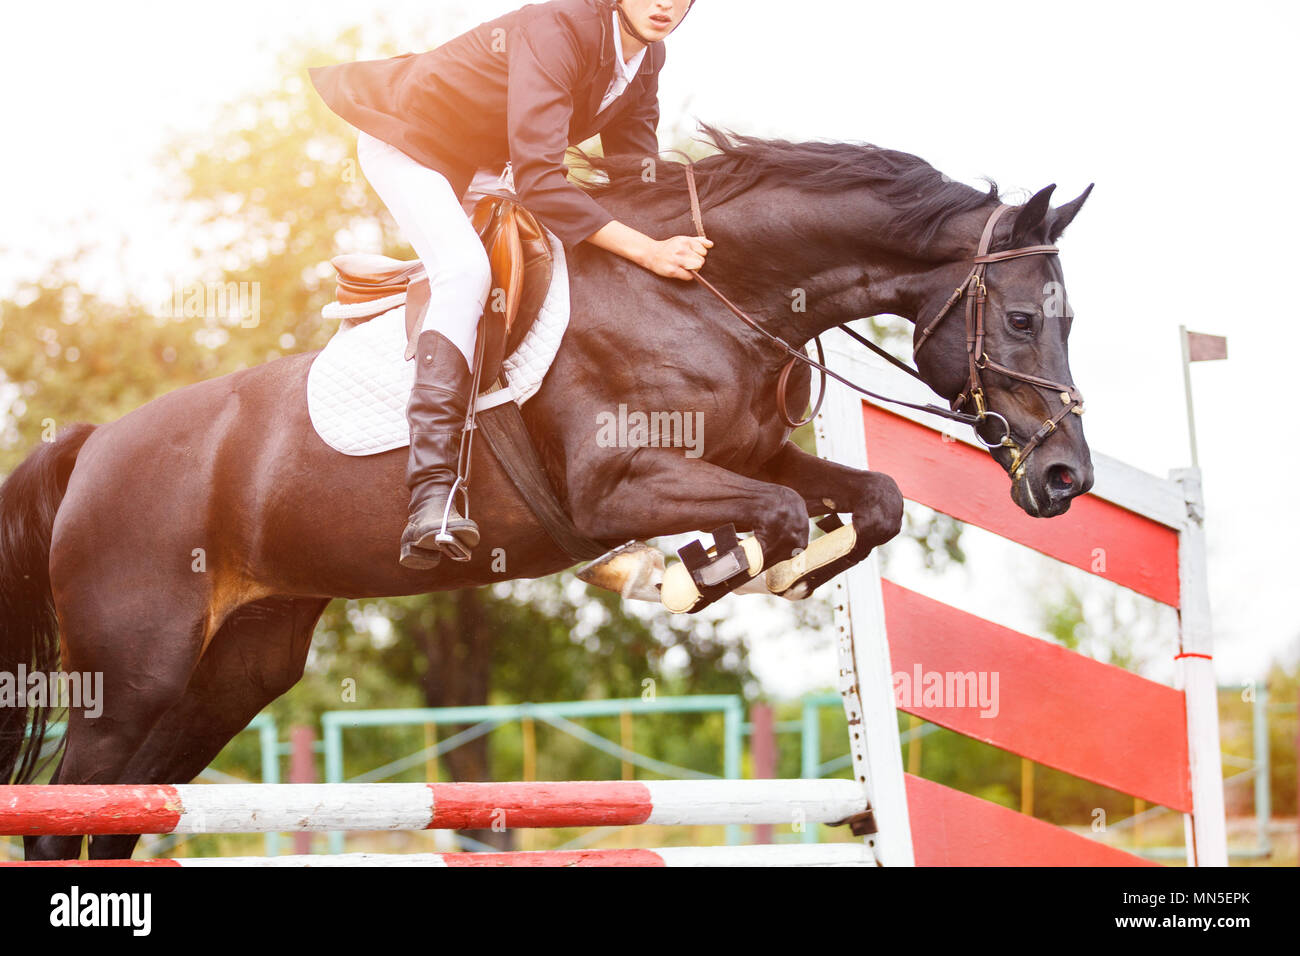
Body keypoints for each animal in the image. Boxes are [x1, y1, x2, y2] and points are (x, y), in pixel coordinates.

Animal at [0, 126, 1094, 860]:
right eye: (1025, 318)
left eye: (1066, 318)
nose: (1066, 476)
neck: (707, 292)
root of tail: (90, 447)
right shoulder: (615, 490)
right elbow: (772, 519)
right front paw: (680, 576)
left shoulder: (752, 455)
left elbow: (872, 499)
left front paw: (774, 569)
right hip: (133, 675)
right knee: (64, 819)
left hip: (231, 672)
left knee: (123, 816)